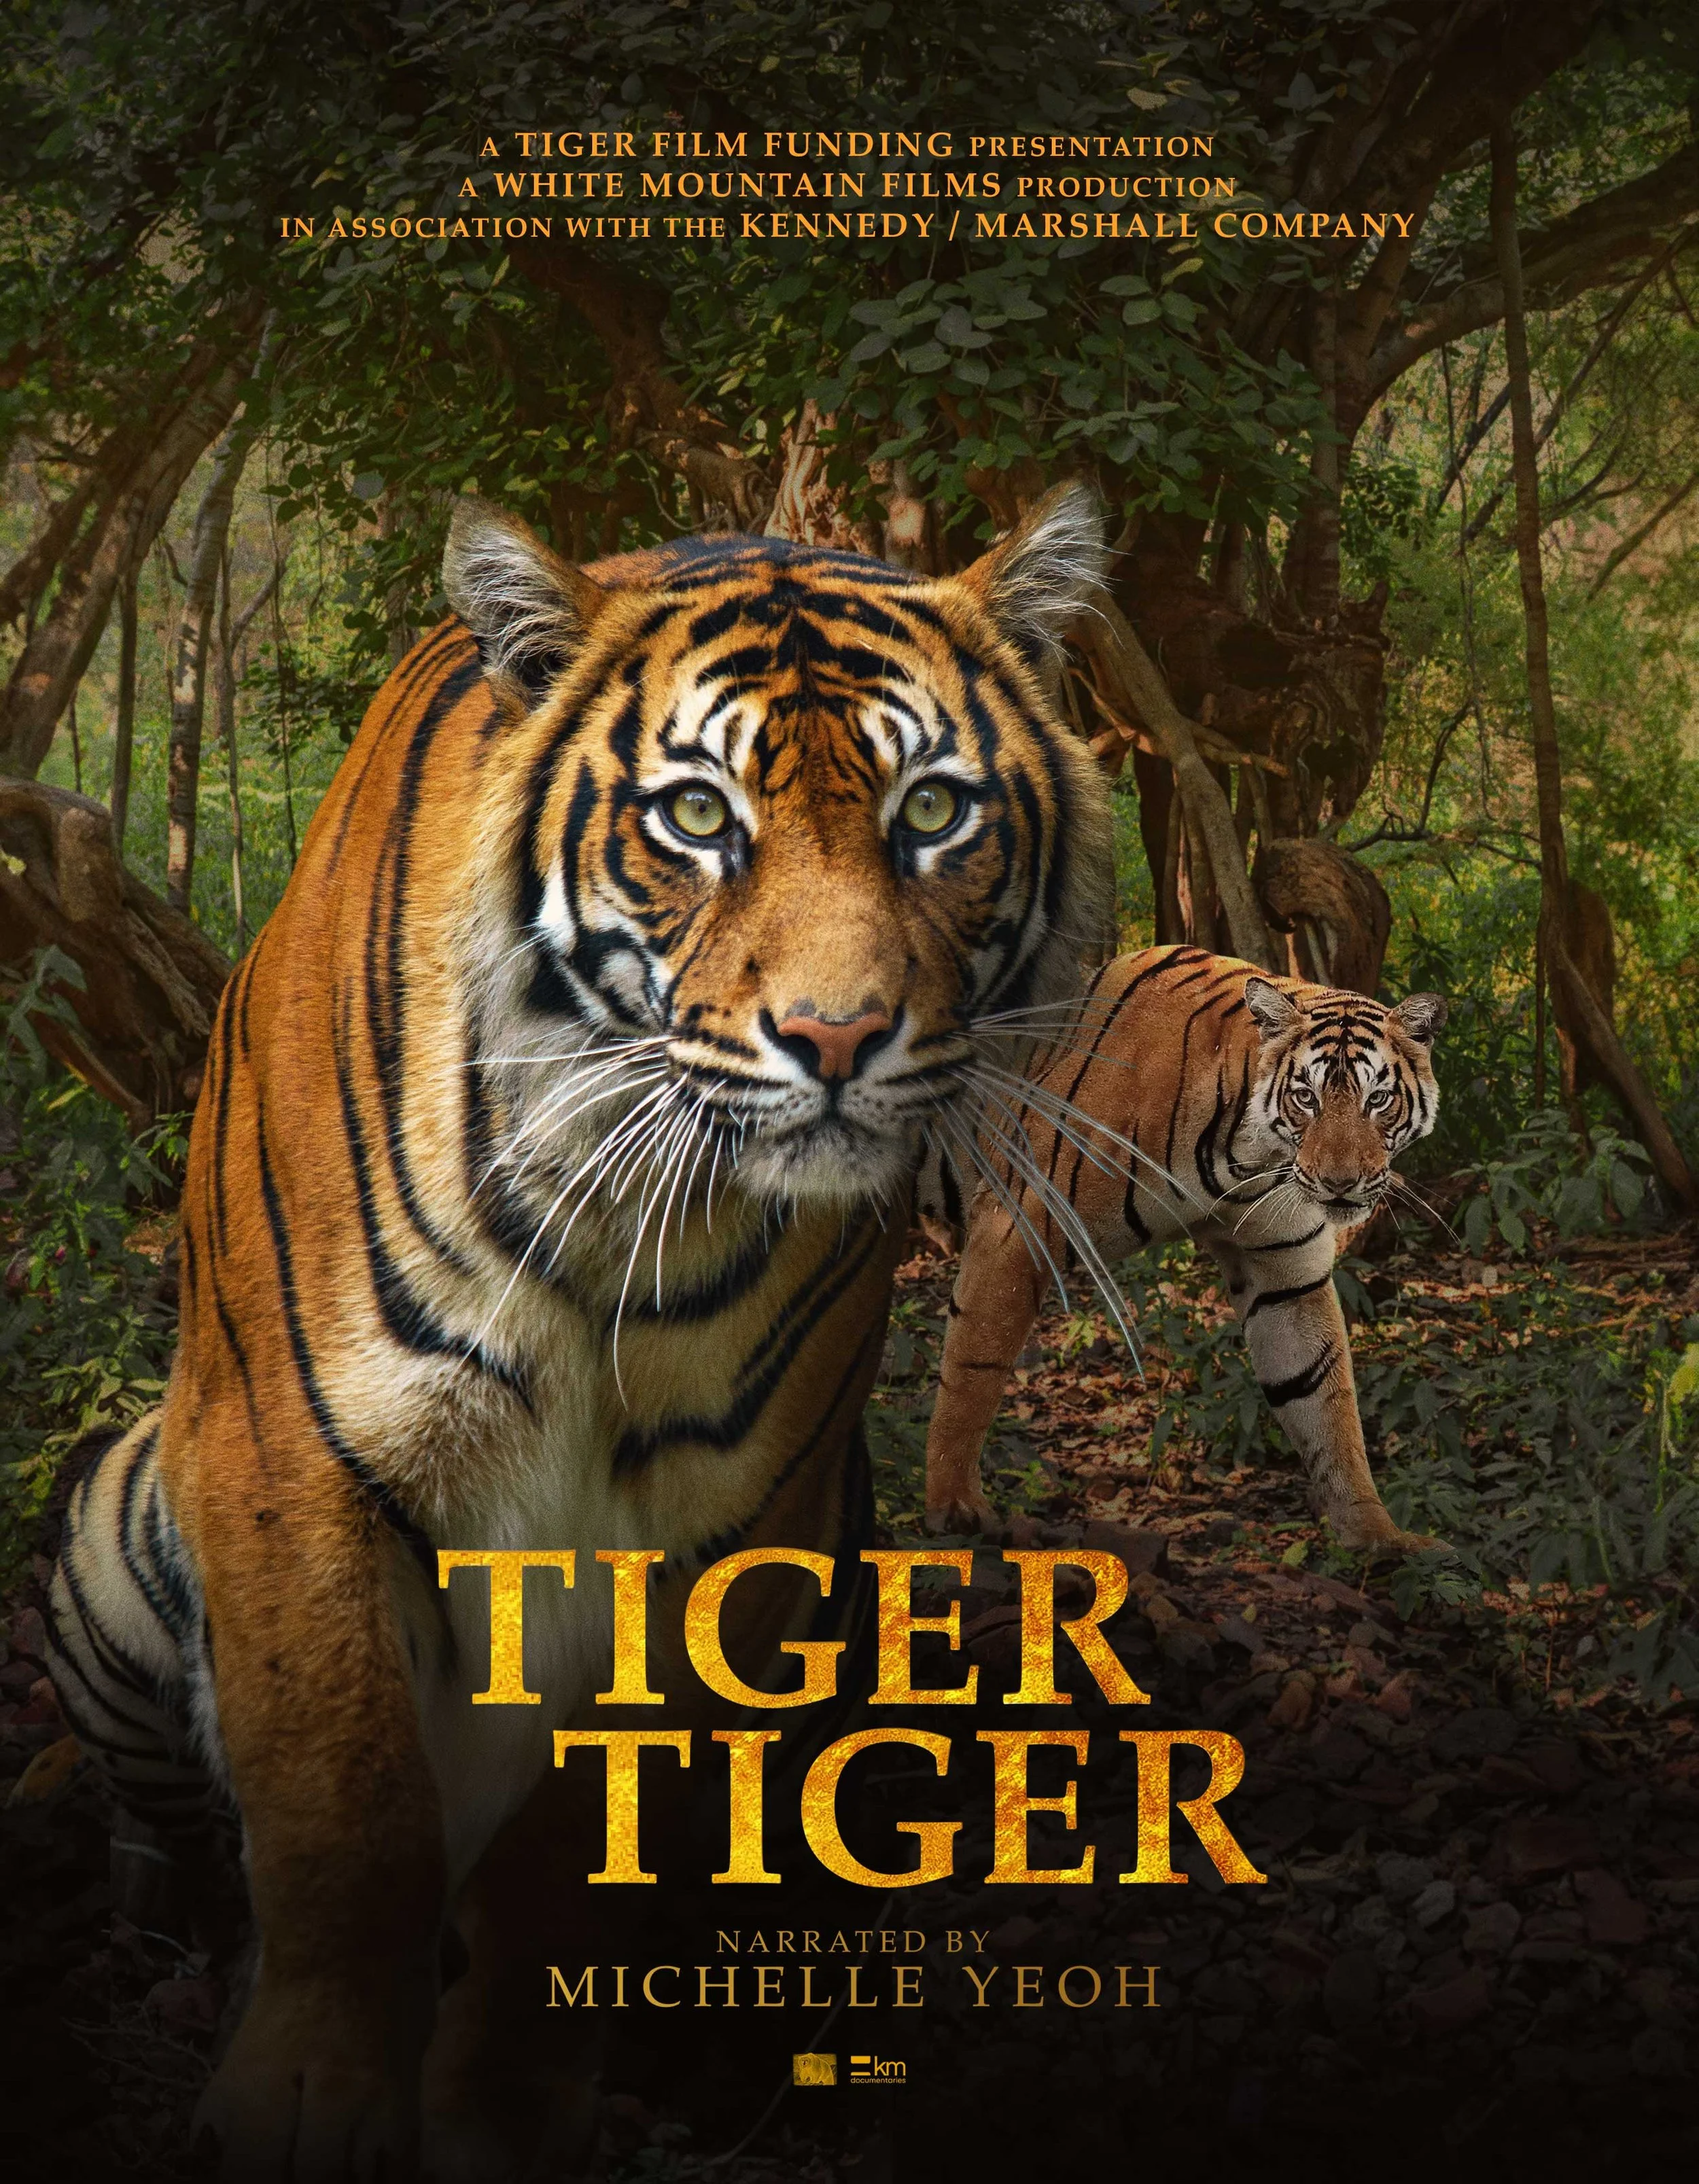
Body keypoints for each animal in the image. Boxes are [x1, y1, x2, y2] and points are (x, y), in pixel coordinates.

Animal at [45, 484, 1116, 2183]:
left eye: (935, 810)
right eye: (694, 817)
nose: (835, 1038)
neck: (623, 1203)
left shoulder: (734, 1519)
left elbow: (573, 1848)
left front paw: (501, 2118)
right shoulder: (287, 1450)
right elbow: (341, 1794)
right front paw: (308, 2102)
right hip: (121, 1514)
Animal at [921, 944, 1448, 1553]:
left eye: (1378, 1100)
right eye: (1306, 1098)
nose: (1340, 1184)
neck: (1250, 1158)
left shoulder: (1286, 1273)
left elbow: (1323, 1398)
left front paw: (1377, 1534)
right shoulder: (1018, 1220)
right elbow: (973, 1368)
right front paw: (954, 1509)